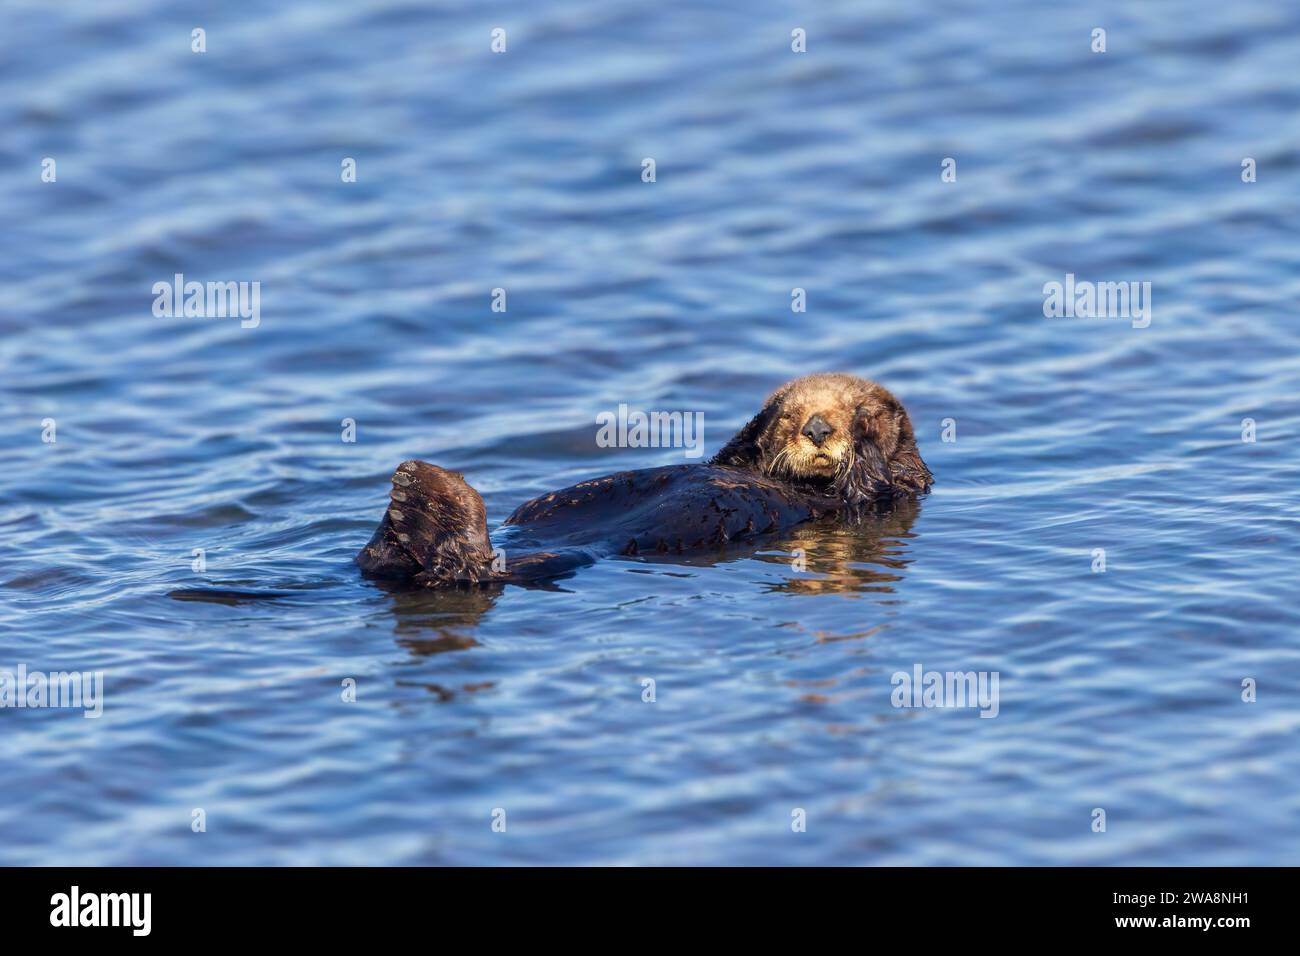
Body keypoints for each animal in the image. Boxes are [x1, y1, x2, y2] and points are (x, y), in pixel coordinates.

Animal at [356, 373, 932, 588]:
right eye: (791, 418)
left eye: (852, 414)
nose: (816, 428)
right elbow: (733, 450)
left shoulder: (888, 494)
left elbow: (876, 479)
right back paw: (408, 500)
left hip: (556, 559)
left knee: (469, 572)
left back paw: (424, 501)